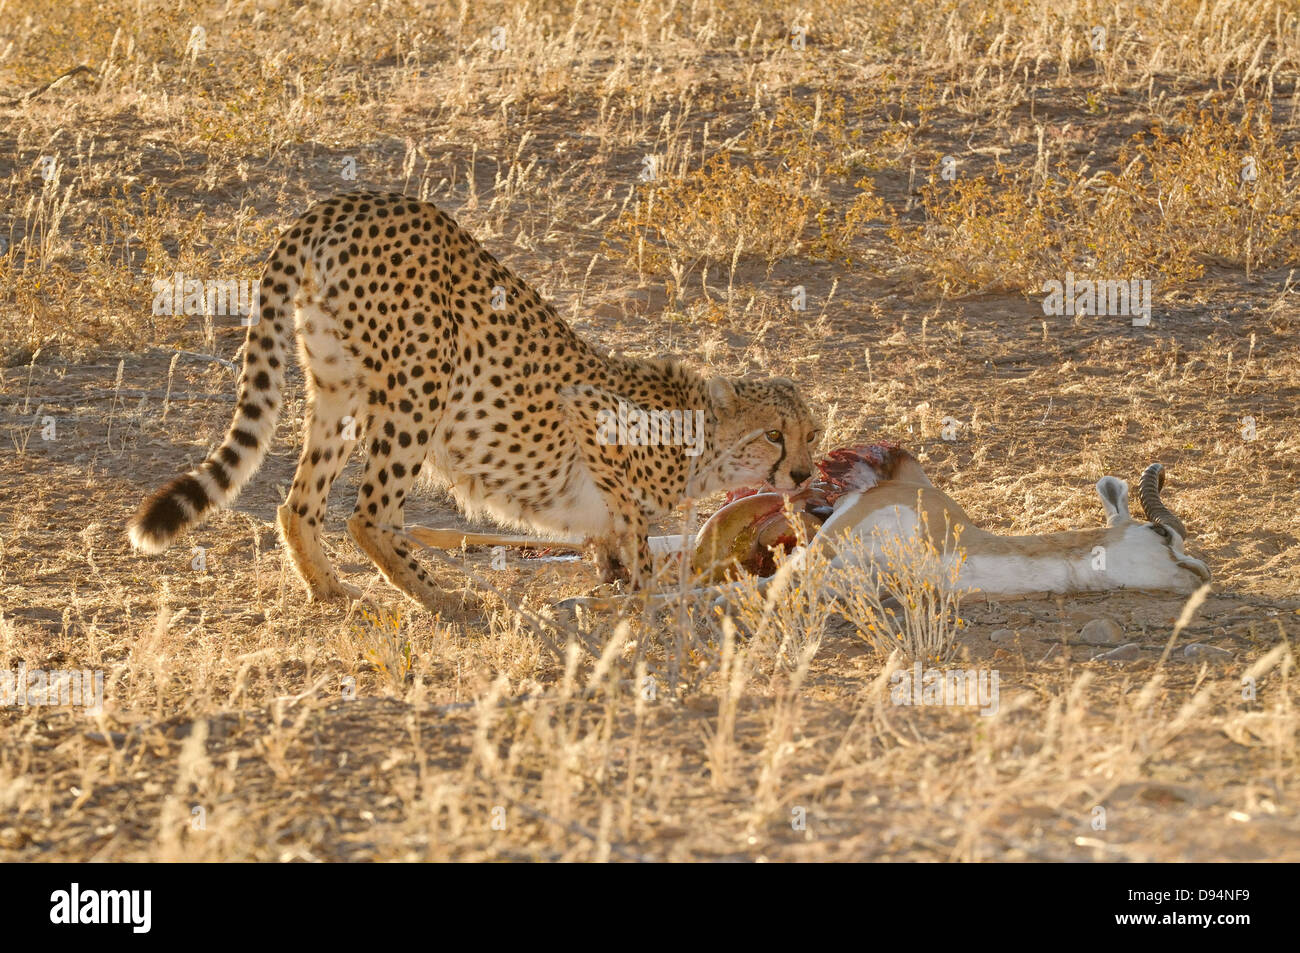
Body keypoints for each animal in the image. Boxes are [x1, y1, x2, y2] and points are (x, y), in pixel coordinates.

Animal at [127, 191, 820, 610]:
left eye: (812, 434)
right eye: (774, 434)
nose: (804, 474)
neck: (701, 440)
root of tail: (348, 200)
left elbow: (614, 542)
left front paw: (616, 583)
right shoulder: (589, 415)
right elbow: (632, 525)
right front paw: (641, 595)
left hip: (339, 388)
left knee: (298, 504)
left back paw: (333, 592)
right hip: (422, 380)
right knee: (368, 515)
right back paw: (446, 600)